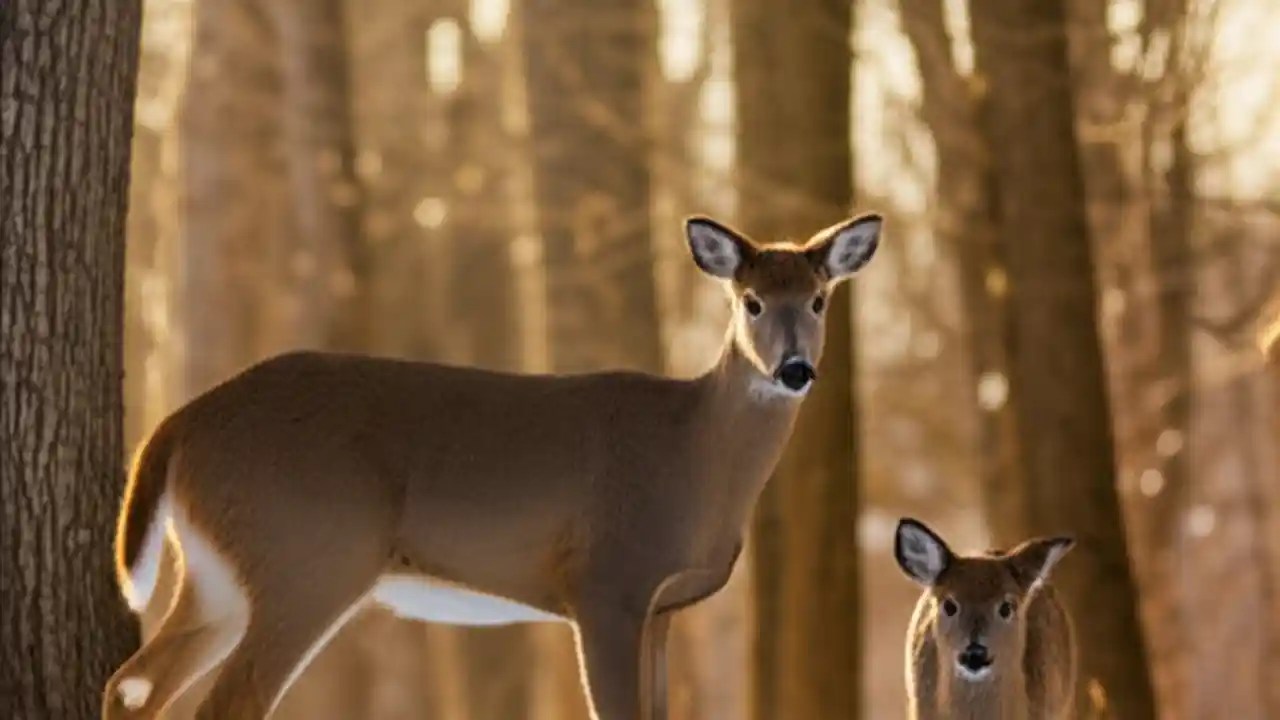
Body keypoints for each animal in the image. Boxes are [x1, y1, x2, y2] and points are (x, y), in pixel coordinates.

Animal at [102, 213, 883, 720]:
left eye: (818, 299)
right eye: (750, 301)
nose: (795, 370)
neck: (693, 458)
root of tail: (178, 424)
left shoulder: (661, 608)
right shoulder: (605, 580)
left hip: (220, 572)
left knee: (132, 687)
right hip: (307, 554)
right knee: (227, 703)